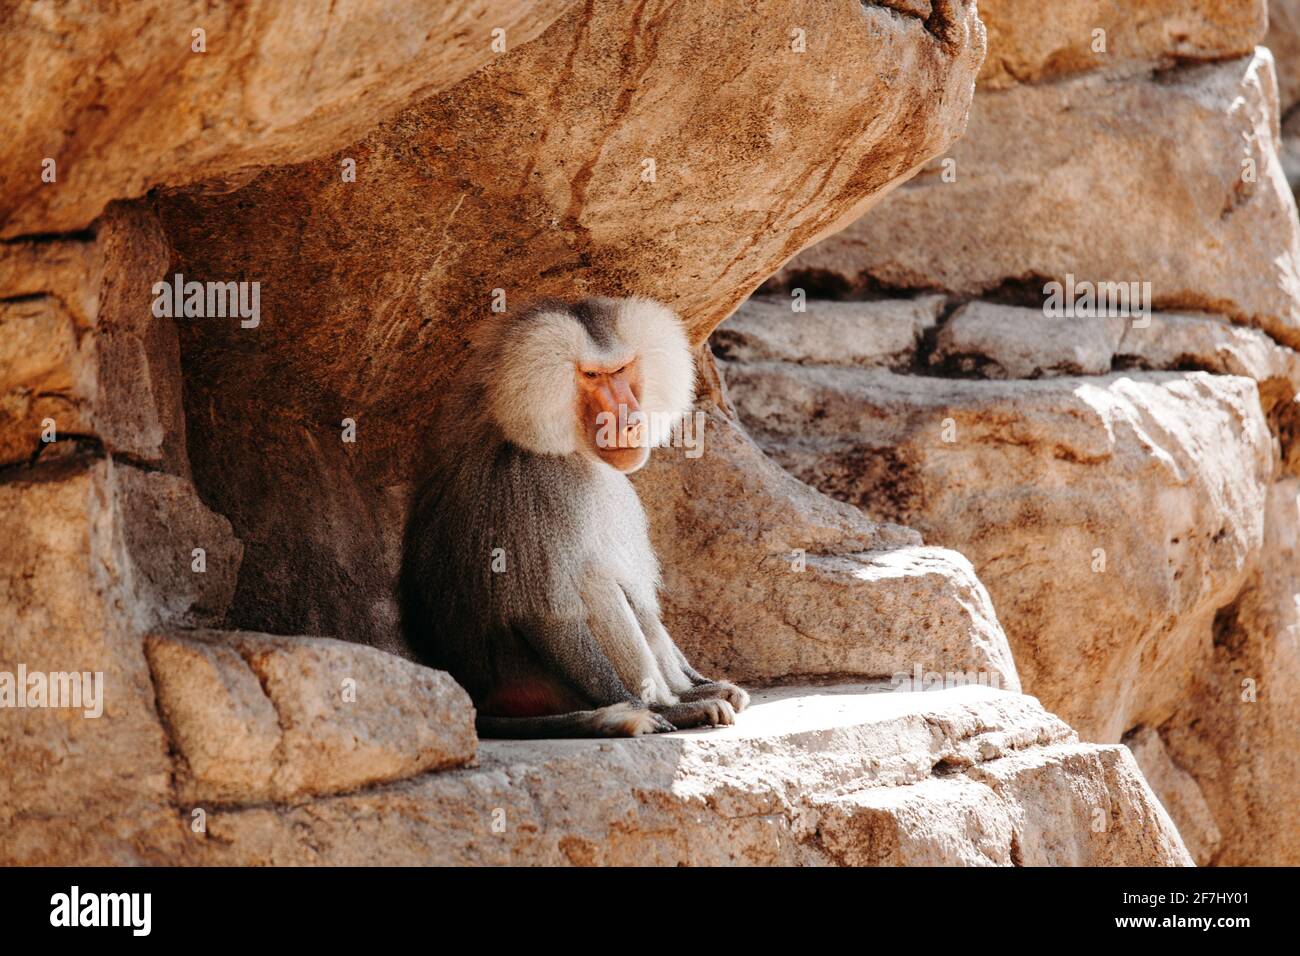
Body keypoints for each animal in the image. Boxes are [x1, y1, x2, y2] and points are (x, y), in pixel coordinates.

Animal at [402, 296, 749, 738]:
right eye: (591, 376)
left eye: (621, 370)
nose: (631, 423)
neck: (570, 448)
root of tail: (476, 698)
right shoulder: (537, 488)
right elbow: (546, 613)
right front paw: (665, 711)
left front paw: (703, 684)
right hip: (532, 685)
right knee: (594, 582)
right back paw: (675, 707)